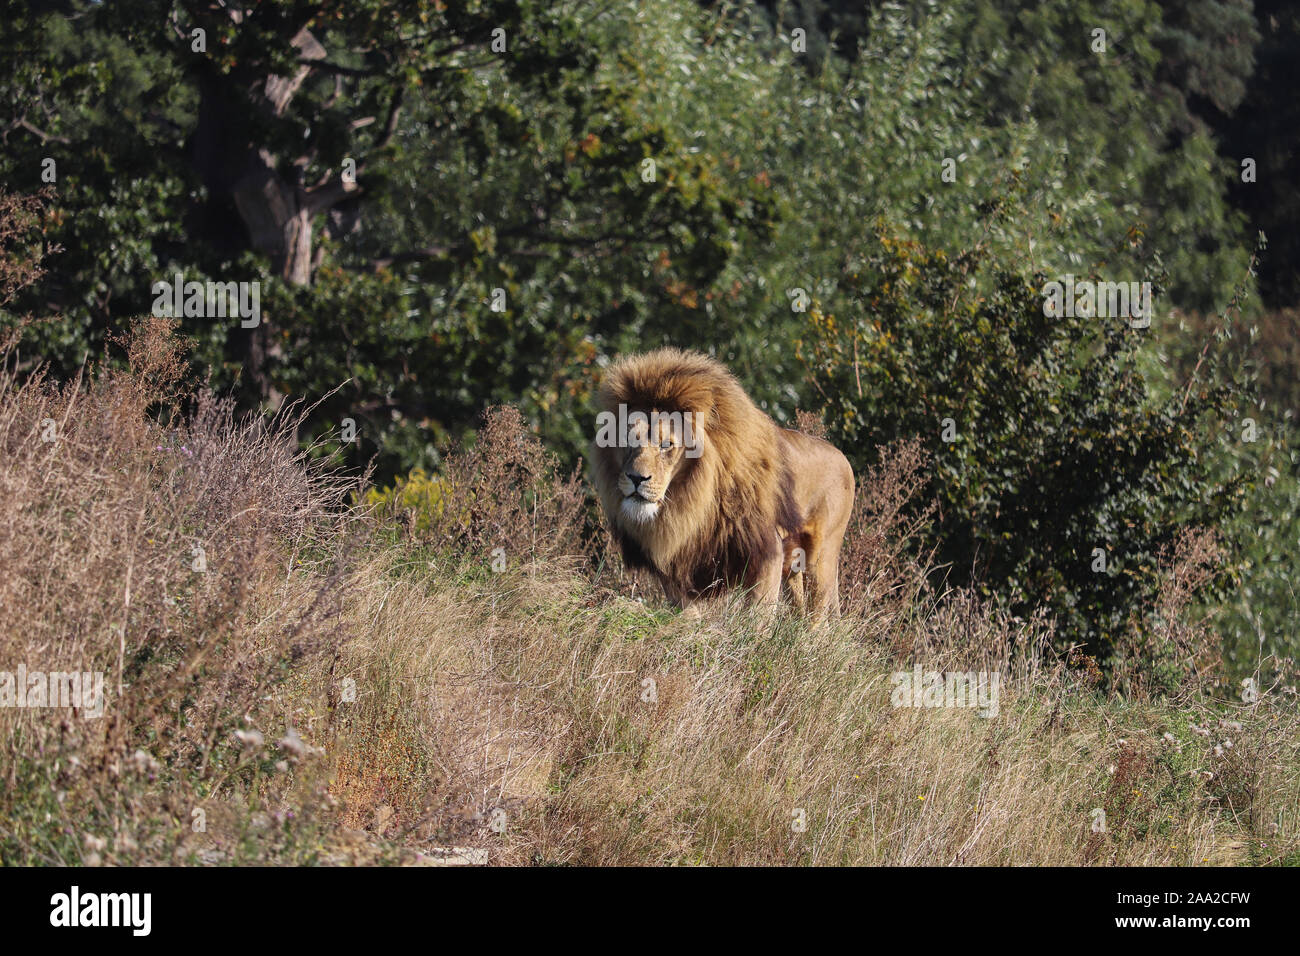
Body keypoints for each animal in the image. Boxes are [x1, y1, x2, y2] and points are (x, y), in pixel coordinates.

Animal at [590, 347, 855, 619]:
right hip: (794, 565)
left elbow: (758, 615)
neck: (692, 501)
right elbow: (687, 612)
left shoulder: (767, 550)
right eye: (627, 439)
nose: (636, 478)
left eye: (666, 445)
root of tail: (843, 457)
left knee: (818, 619)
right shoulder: (678, 563)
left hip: (821, 559)